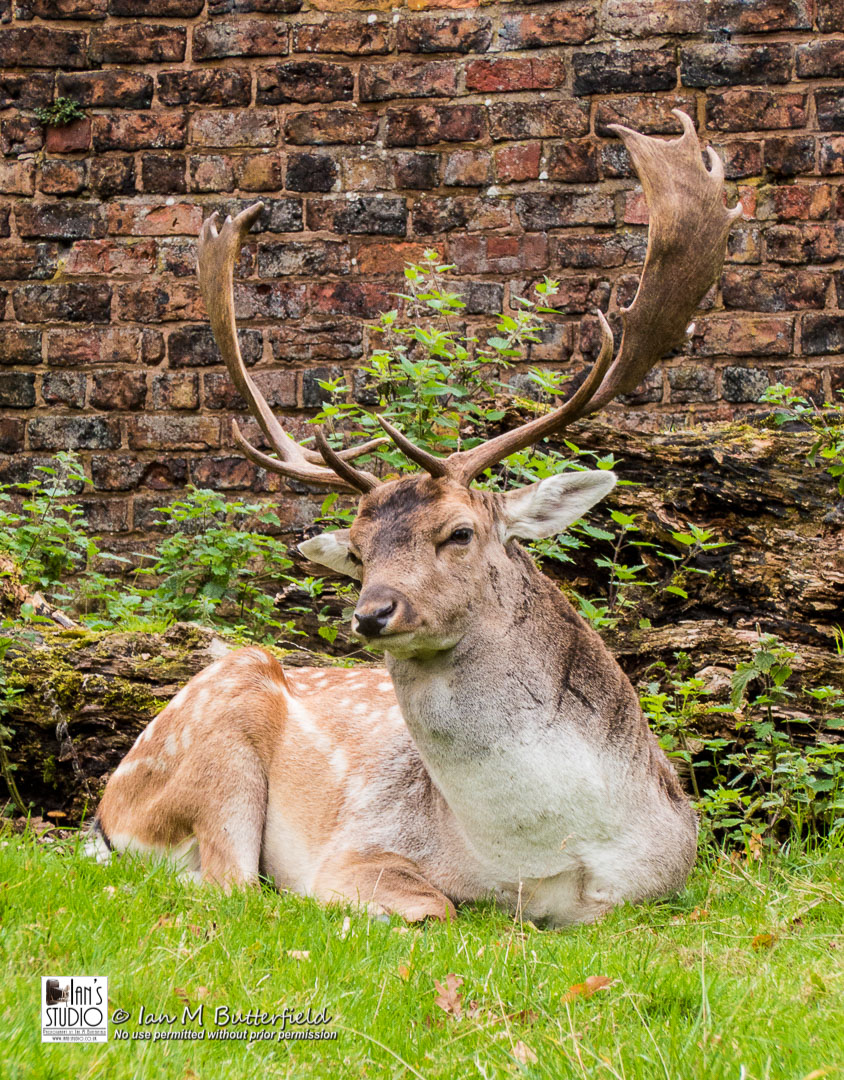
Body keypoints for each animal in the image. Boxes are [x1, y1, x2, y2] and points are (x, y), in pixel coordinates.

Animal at [89, 112, 740, 926]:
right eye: (359, 551)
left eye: (460, 532)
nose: (373, 612)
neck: (540, 859)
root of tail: (103, 807)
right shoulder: (358, 845)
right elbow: (438, 907)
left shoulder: (661, 882)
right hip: (213, 738)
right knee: (227, 884)